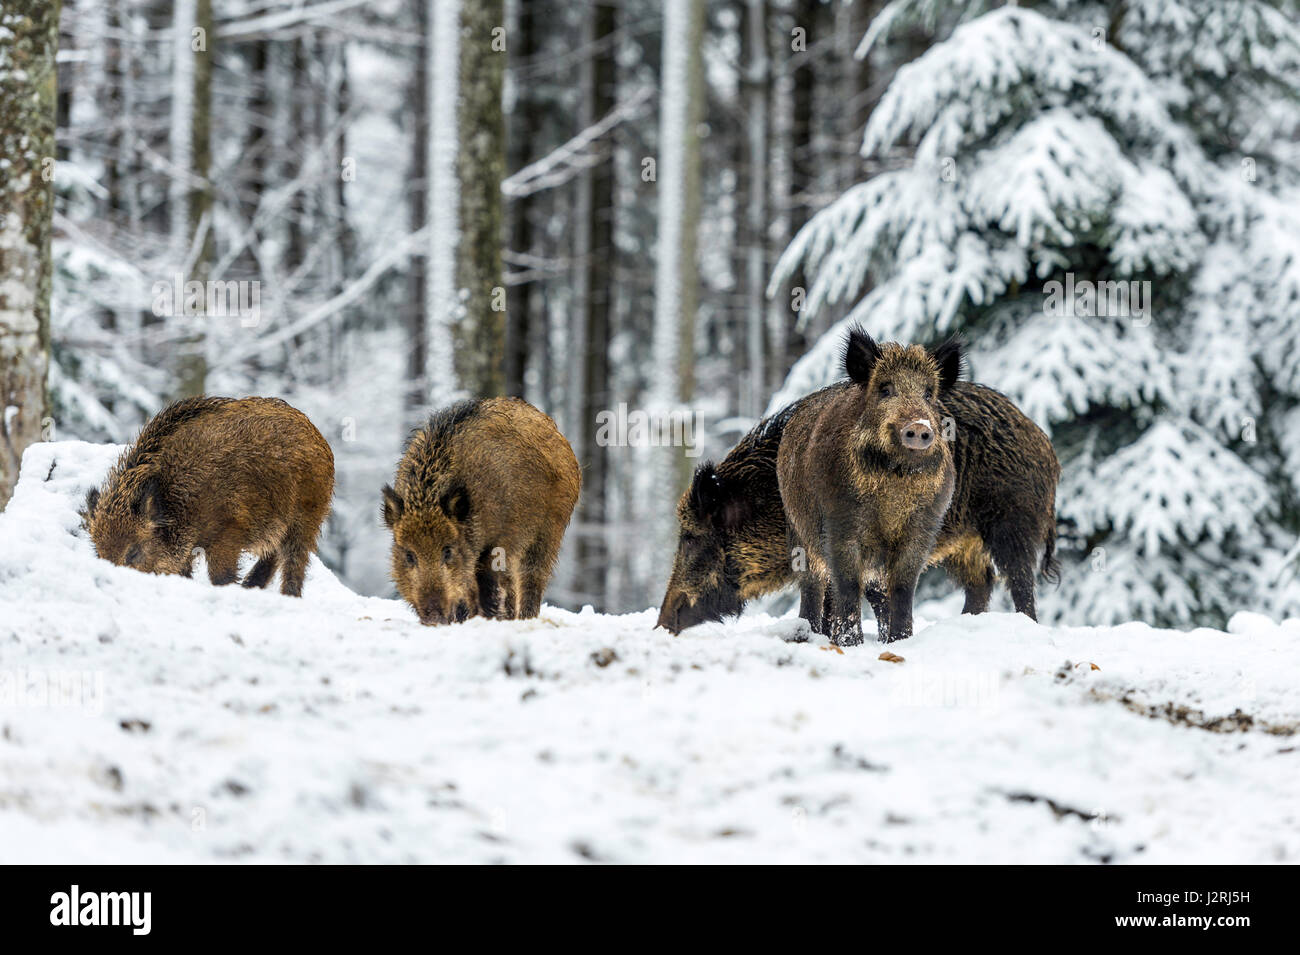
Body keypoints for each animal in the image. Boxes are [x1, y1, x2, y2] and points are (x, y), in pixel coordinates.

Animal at [84, 396, 335, 596]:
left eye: (133, 552)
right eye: (98, 551)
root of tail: (317, 435)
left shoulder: (228, 530)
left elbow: (220, 575)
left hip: (307, 517)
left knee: (294, 561)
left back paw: (286, 595)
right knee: (273, 556)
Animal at [382, 396, 581, 625]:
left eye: (447, 551)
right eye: (409, 555)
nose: (434, 618)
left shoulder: (496, 543)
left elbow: (487, 587)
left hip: (549, 530)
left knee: (531, 577)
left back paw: (524, 619)